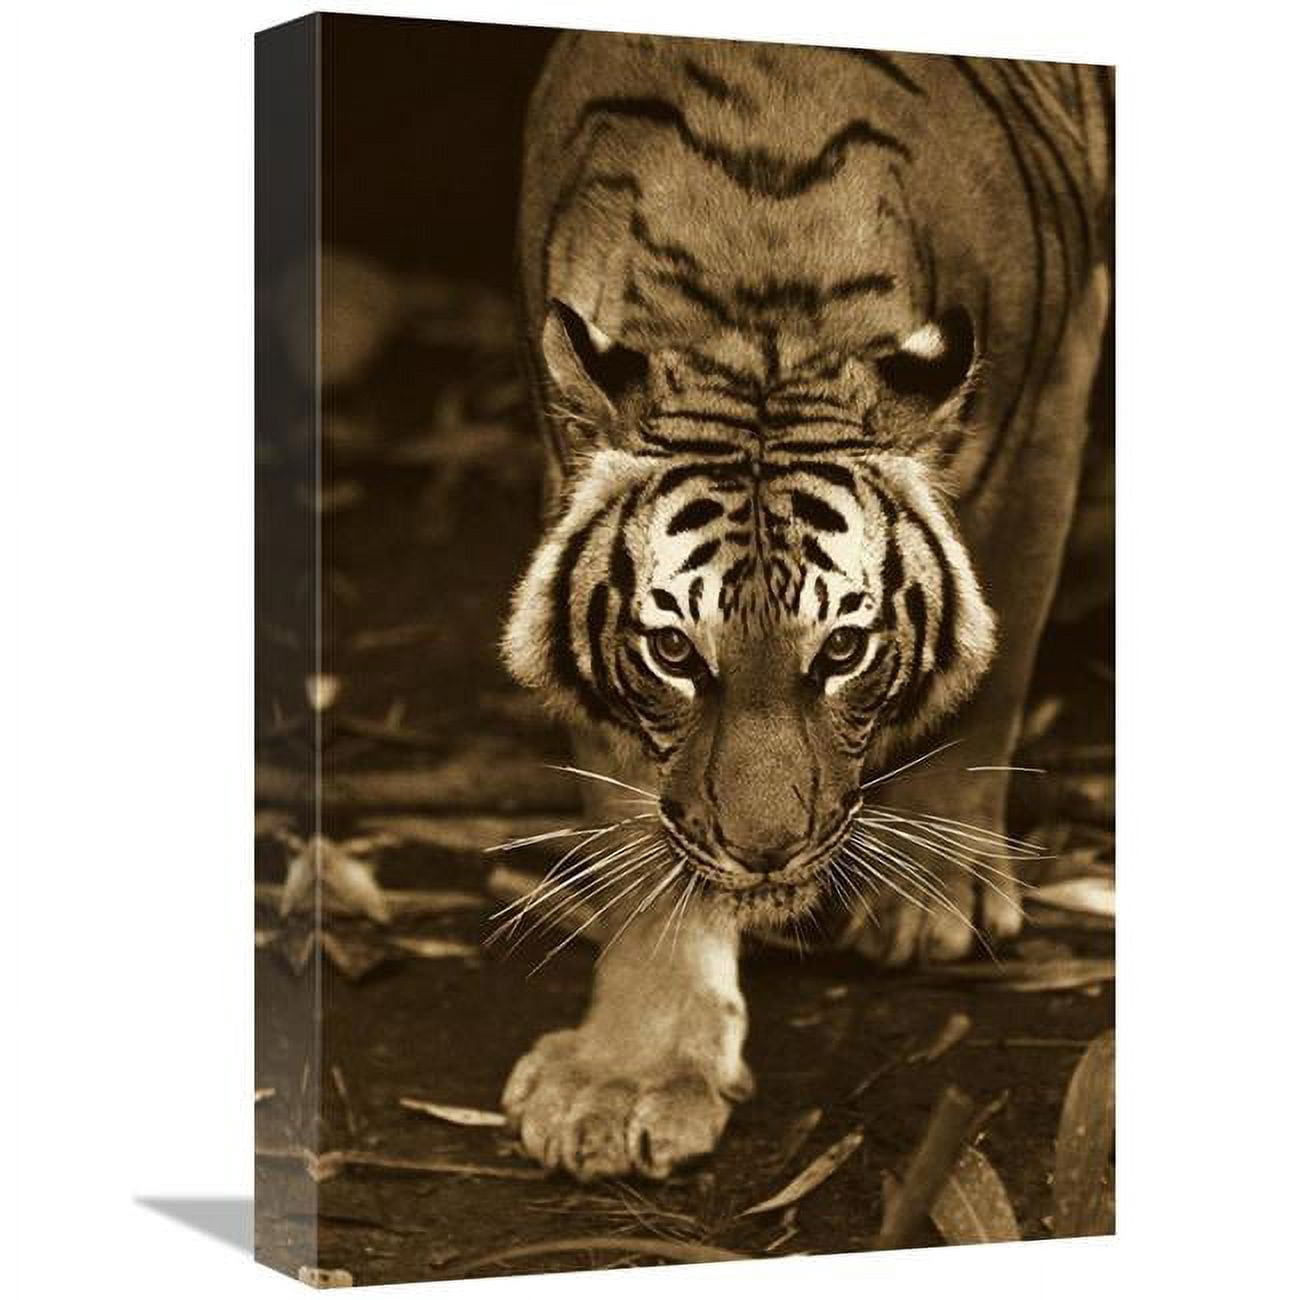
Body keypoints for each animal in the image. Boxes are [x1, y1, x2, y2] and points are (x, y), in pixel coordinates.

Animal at [498, 31, 1112, 1181]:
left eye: (842, 650)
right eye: (673, 651)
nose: (765, 852)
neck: (757, 313)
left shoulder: (1049, 390)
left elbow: (987, 667)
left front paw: (935, 892)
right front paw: (627, 1078)